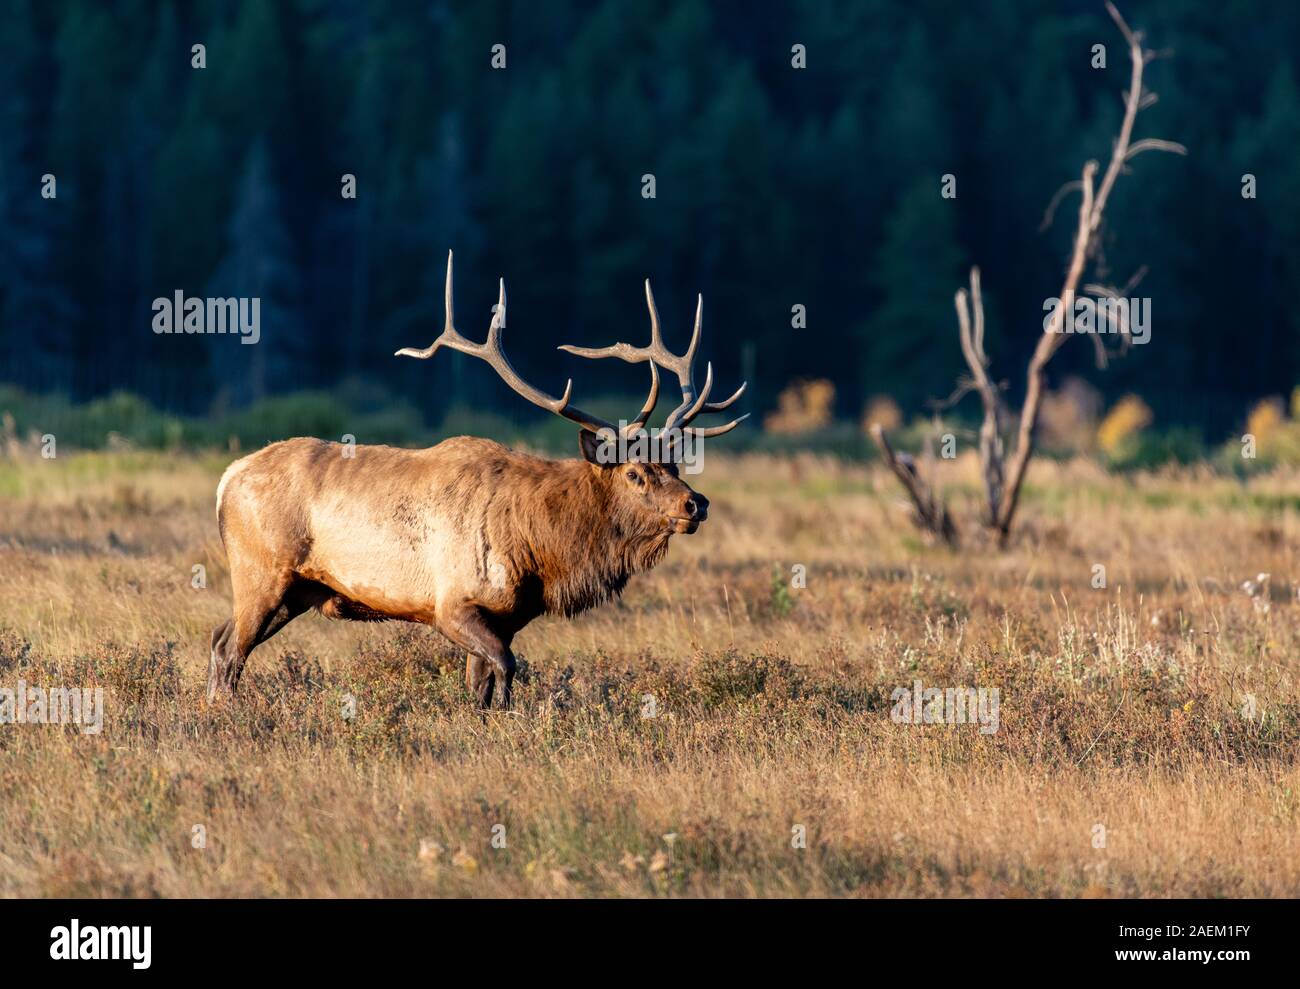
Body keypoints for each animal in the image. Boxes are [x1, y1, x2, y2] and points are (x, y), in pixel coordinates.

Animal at [208, 252, 747, 708]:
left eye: (675, 466)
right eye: (635, 473)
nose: (696, 504)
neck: (539, 547)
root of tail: (226, 480)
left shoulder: (505, 617)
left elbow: (481, 685)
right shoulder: (452, 603)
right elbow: (506, 670)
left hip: (296, 592)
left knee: (218, 638)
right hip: (261, 574)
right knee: (229, 649)